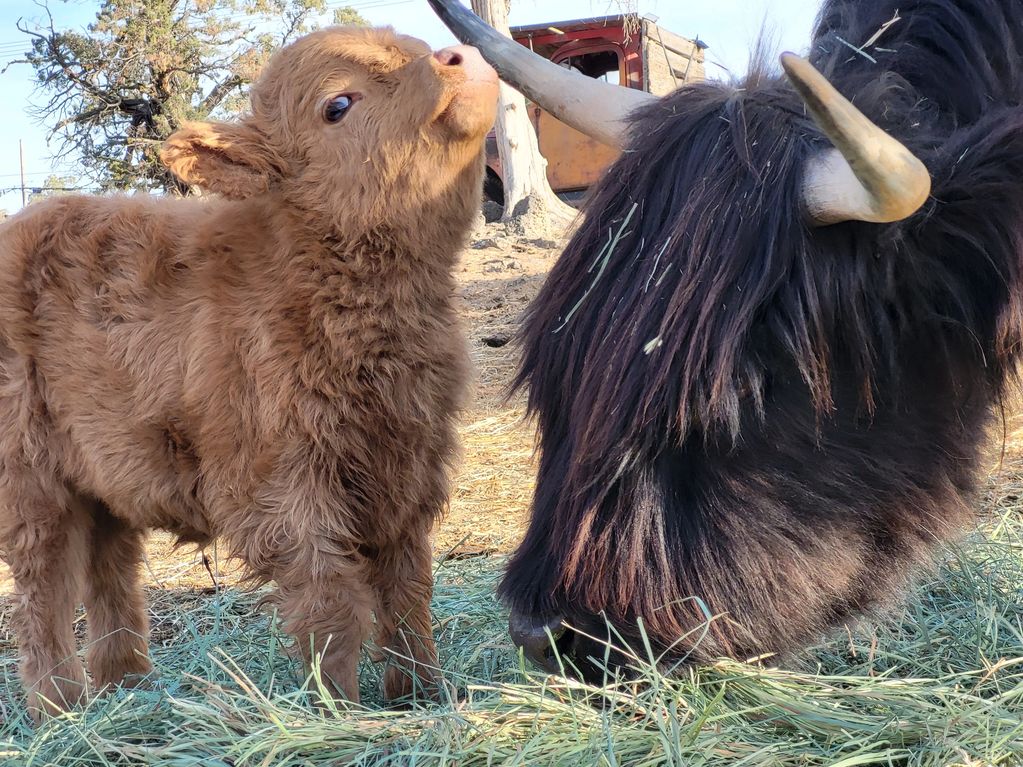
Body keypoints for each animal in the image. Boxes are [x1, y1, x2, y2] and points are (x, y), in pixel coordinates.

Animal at [0, 26, 498, 718]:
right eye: (338, 104)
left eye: (416, 47)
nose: (458, 55)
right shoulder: (281, 487)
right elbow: (331, 602)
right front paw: (338, 711)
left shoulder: (410, 467)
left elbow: (406, 591)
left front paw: (422, 696)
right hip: (29, 474)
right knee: (42, 586)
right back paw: (61, 708)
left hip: (104, 473)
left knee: (110, 569)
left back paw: (127, 689)